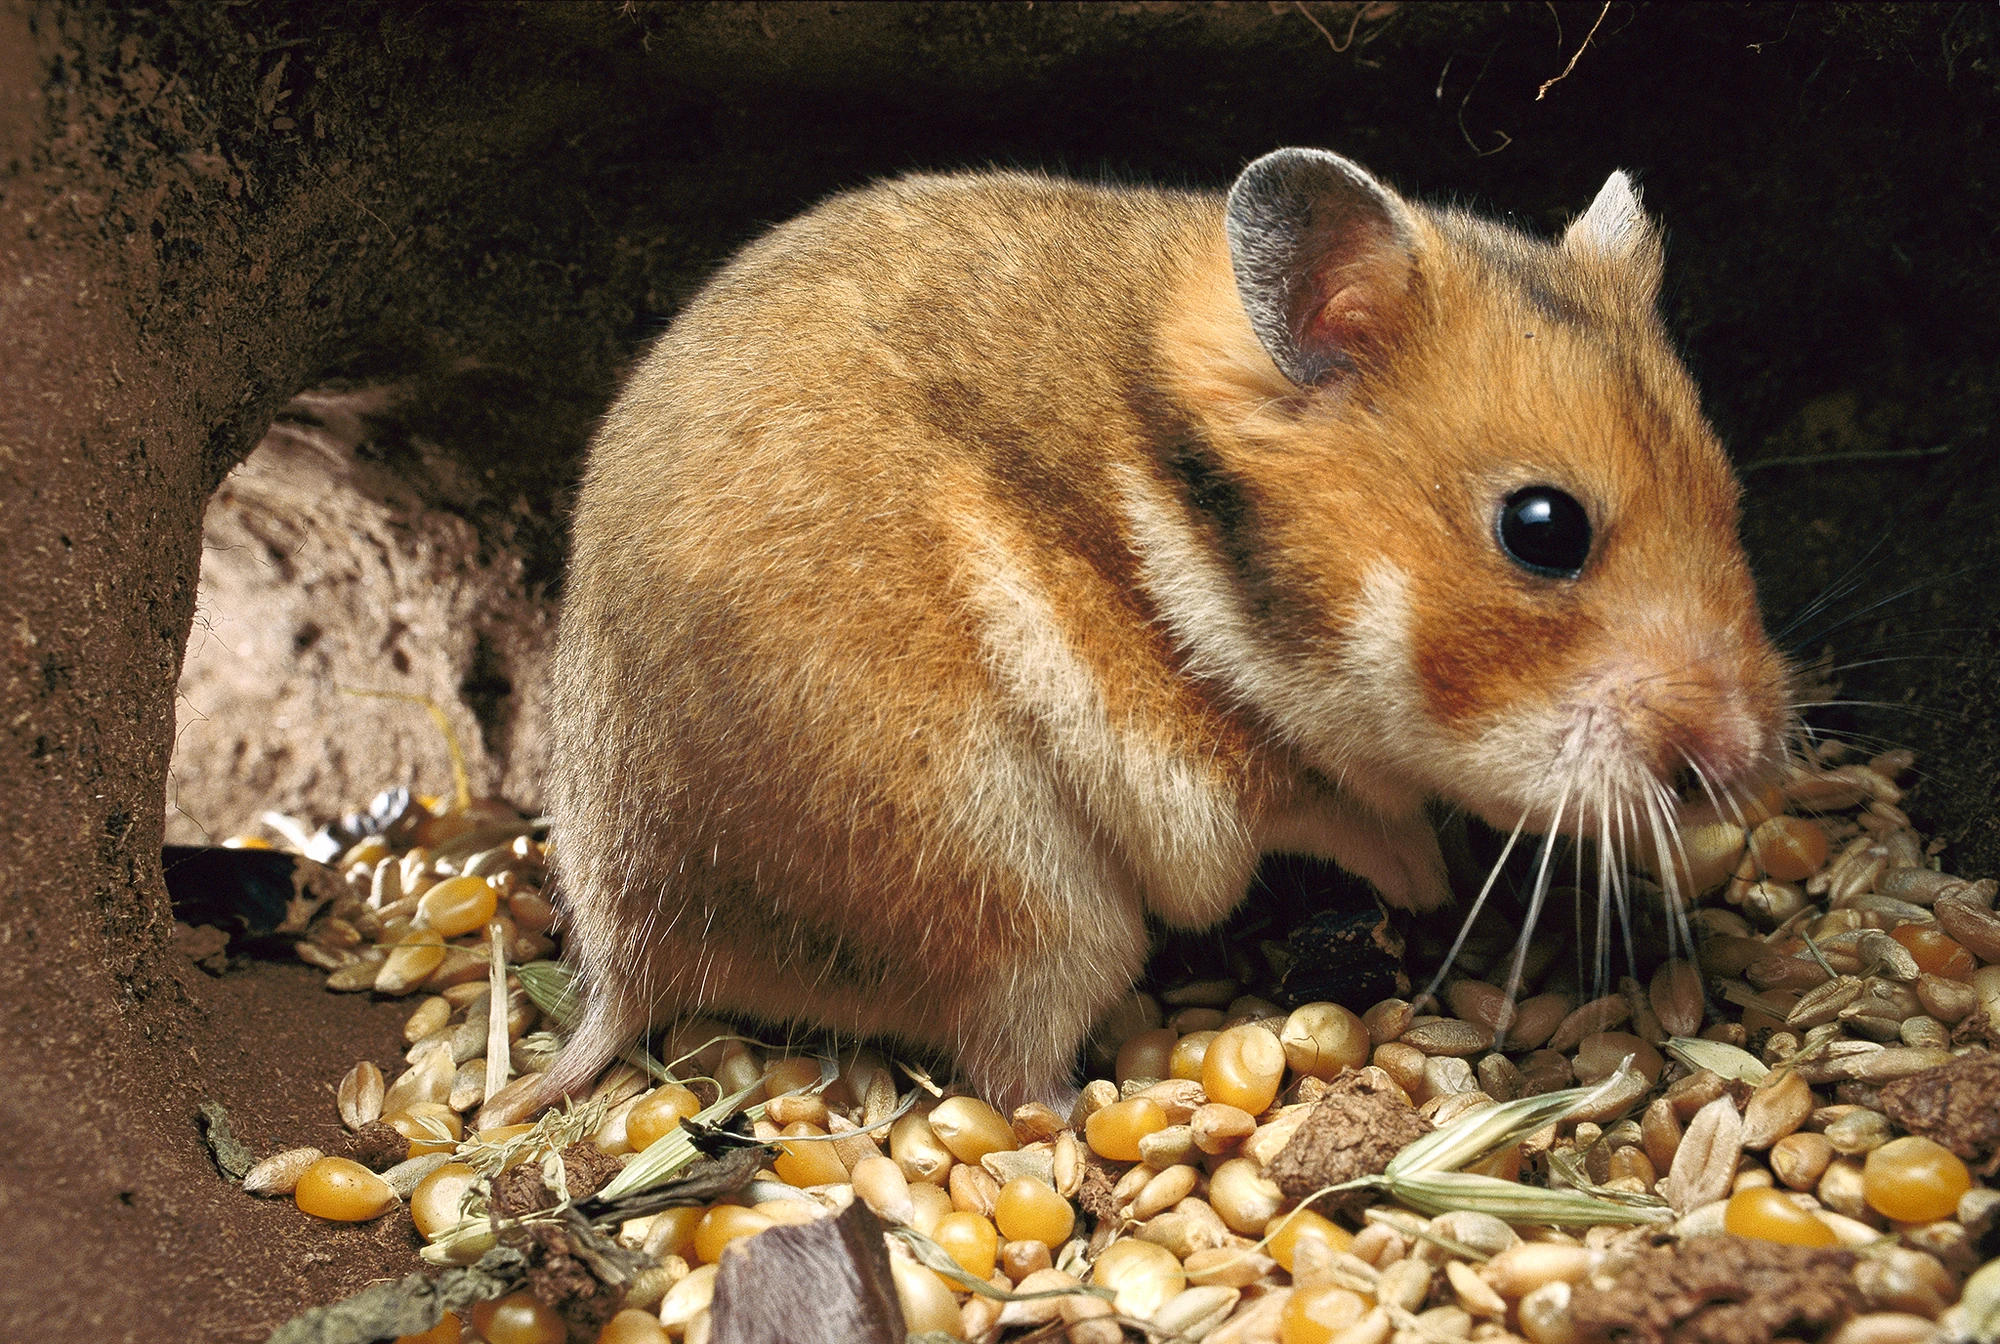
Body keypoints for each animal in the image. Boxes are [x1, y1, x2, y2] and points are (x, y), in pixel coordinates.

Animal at [540, 149, 1790, 1111]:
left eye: (1729, 497)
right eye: (1542, 529)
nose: (1744, 763)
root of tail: (632, 957)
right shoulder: (1210, 776)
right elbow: (1345, 817)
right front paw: (1431, 881)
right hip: (1024, 902)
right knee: (1008, 1073)